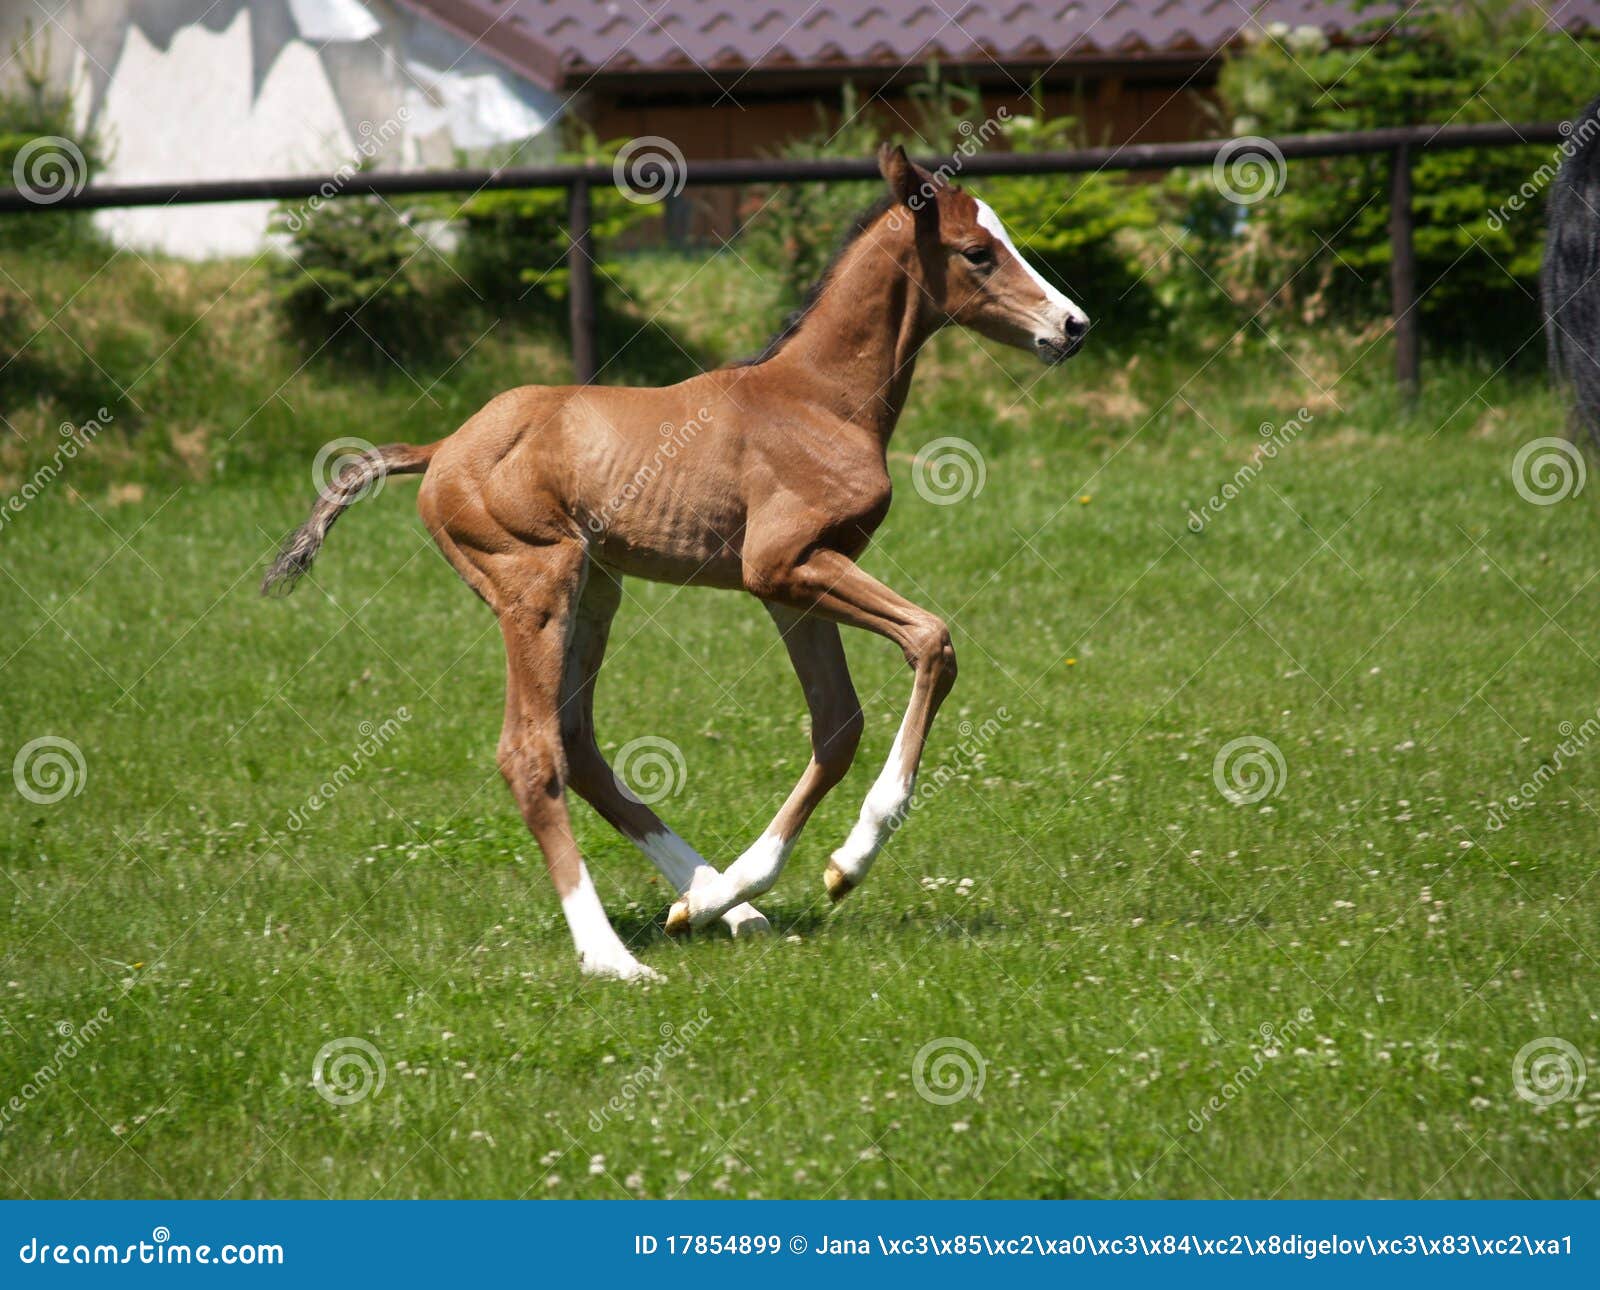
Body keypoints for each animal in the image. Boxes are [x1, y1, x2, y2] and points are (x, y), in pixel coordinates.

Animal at [262, 144, 1088, 981]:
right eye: (978, 252)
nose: (1073, 325)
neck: (819, 400)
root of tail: (441, 449)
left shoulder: (791, 585)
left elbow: (838, 725)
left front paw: (731, 893)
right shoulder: (782, 567)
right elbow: (932, 641)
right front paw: (847, 864)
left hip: (597, 591)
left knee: (579, 745)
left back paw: (720, 906)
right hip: (535, 582)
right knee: (530, 753)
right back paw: (612, 957)